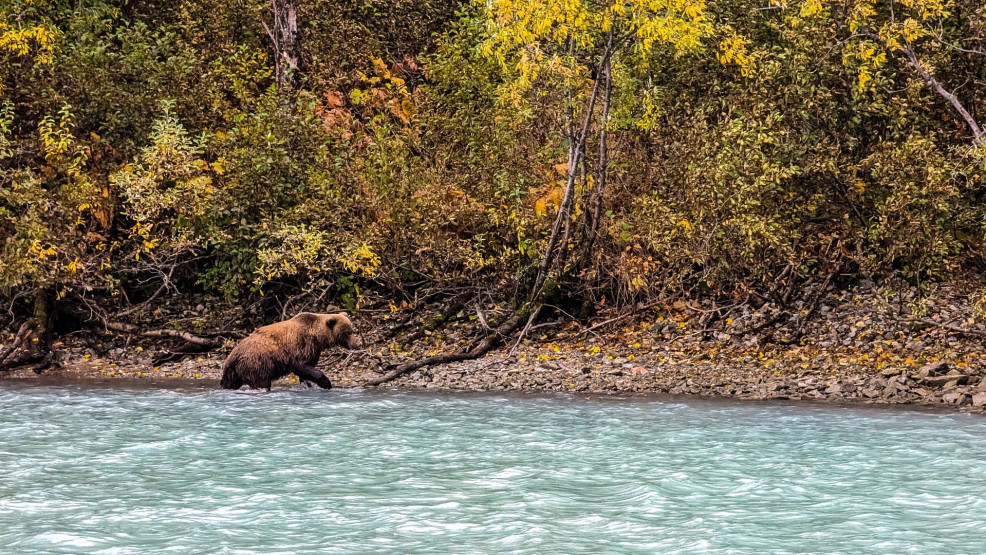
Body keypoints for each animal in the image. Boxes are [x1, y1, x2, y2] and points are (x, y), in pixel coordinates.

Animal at [219, 312, 362, 390]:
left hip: (234, 371)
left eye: (352, 330)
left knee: (229, 383)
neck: (317, 337)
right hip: (257, 363)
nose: (357, 344)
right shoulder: (301, 344)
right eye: (347, 332)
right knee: (261, 382)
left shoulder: (314, 350)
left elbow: (307, 368)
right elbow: (300, 365)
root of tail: (232, 356)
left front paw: (309, 383)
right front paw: (325, 382)